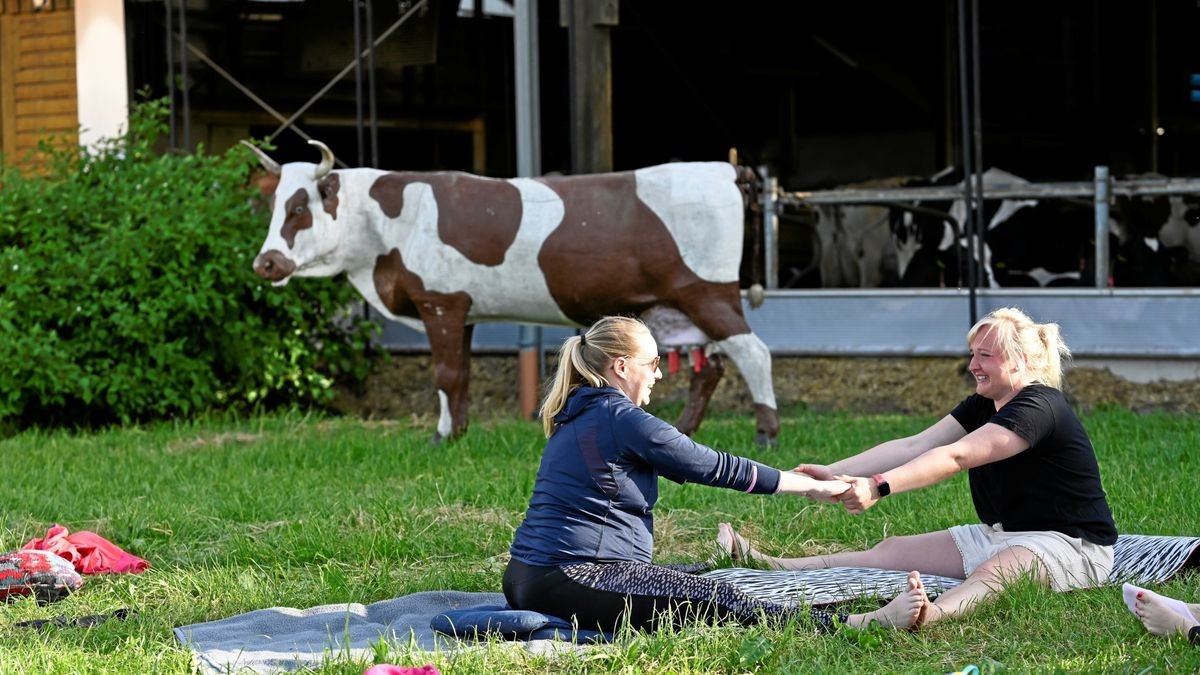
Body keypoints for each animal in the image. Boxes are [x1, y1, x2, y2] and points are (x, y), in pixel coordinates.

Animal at [242, 140, 780, 445]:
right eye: (271, 205)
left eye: (298, 209)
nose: (265, 262)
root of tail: (725, 169)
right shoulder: (460, 308)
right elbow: (456, 376)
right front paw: (454, 432)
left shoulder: (440, 300)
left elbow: (446, 373)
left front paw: (441, 438)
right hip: (680, 306)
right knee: (710, 366)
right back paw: (686, 430)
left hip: (707, 291)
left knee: (753, 353)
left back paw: (766, 433)